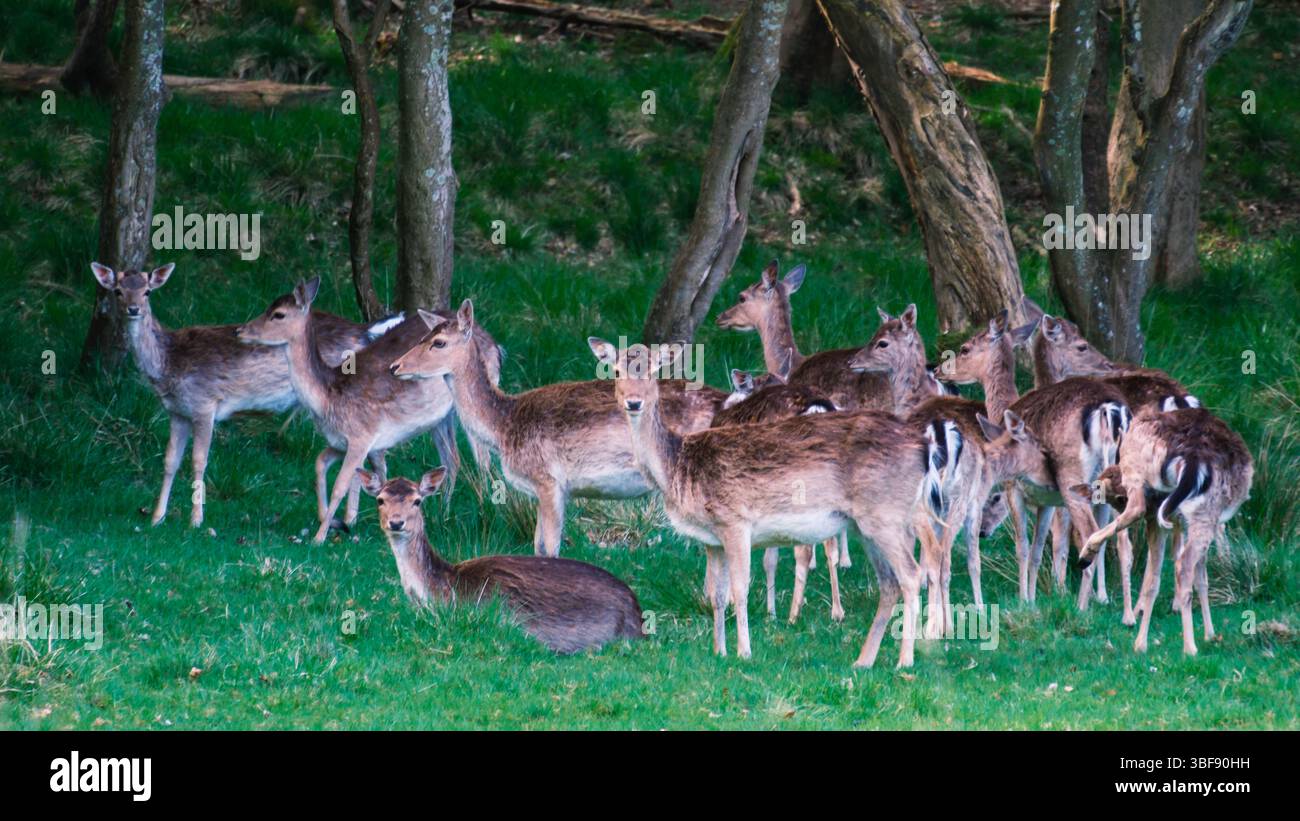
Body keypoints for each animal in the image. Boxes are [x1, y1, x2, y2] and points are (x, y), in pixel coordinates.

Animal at [90, 262, 403, 528]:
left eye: (147, 291)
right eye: (118, 291)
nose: (133, 309)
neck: (168, 364)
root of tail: (365, 332)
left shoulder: (204, 404)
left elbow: (198, 461)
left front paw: (196, 521)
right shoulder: (177, 412)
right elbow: (169, 462)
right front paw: (156, 518)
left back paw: (351, 519)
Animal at [236, 278, 502, 544]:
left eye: (278, 314)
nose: (240, 330)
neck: (327, 397)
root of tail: (496, 346)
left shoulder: (361, 435)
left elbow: (340, 485)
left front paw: (320, 536)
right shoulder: (343, 442)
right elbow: (323, 464)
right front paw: (341, 521)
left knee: (483, 459)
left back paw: (485, 510)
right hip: (440, 418)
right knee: (452, 459)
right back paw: (442, 514)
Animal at [387, 300, 726, 558]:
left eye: (439, 342)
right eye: (422, 337)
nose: (395, 366)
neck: (503, 426)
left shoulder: (548, 480)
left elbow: (549, 548)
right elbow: (537, 546)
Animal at [940, 311, 1131, 612]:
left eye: (965, 348)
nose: (938, 369)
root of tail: (1111, 411)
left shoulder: (1014, 487)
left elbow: (1025, 546)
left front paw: (1026, 600)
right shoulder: (1047, 500)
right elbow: (1039, 547)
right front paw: (1038, 598)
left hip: (1073, 478)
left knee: (1091, 533)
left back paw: (1081, 608)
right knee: (1120, 537)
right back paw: (1124, 610)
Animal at [1074, 409, 1252, 655]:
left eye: (1115, 496)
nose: (1118, 500)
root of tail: (1191, 457)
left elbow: (1192, 575)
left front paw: (1209, 633)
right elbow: (1200, 575)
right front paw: (1210, 634)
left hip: (1178, 504)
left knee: (1150, 537)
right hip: (1200, 509)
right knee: (1180, 561)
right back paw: (1187, 647)